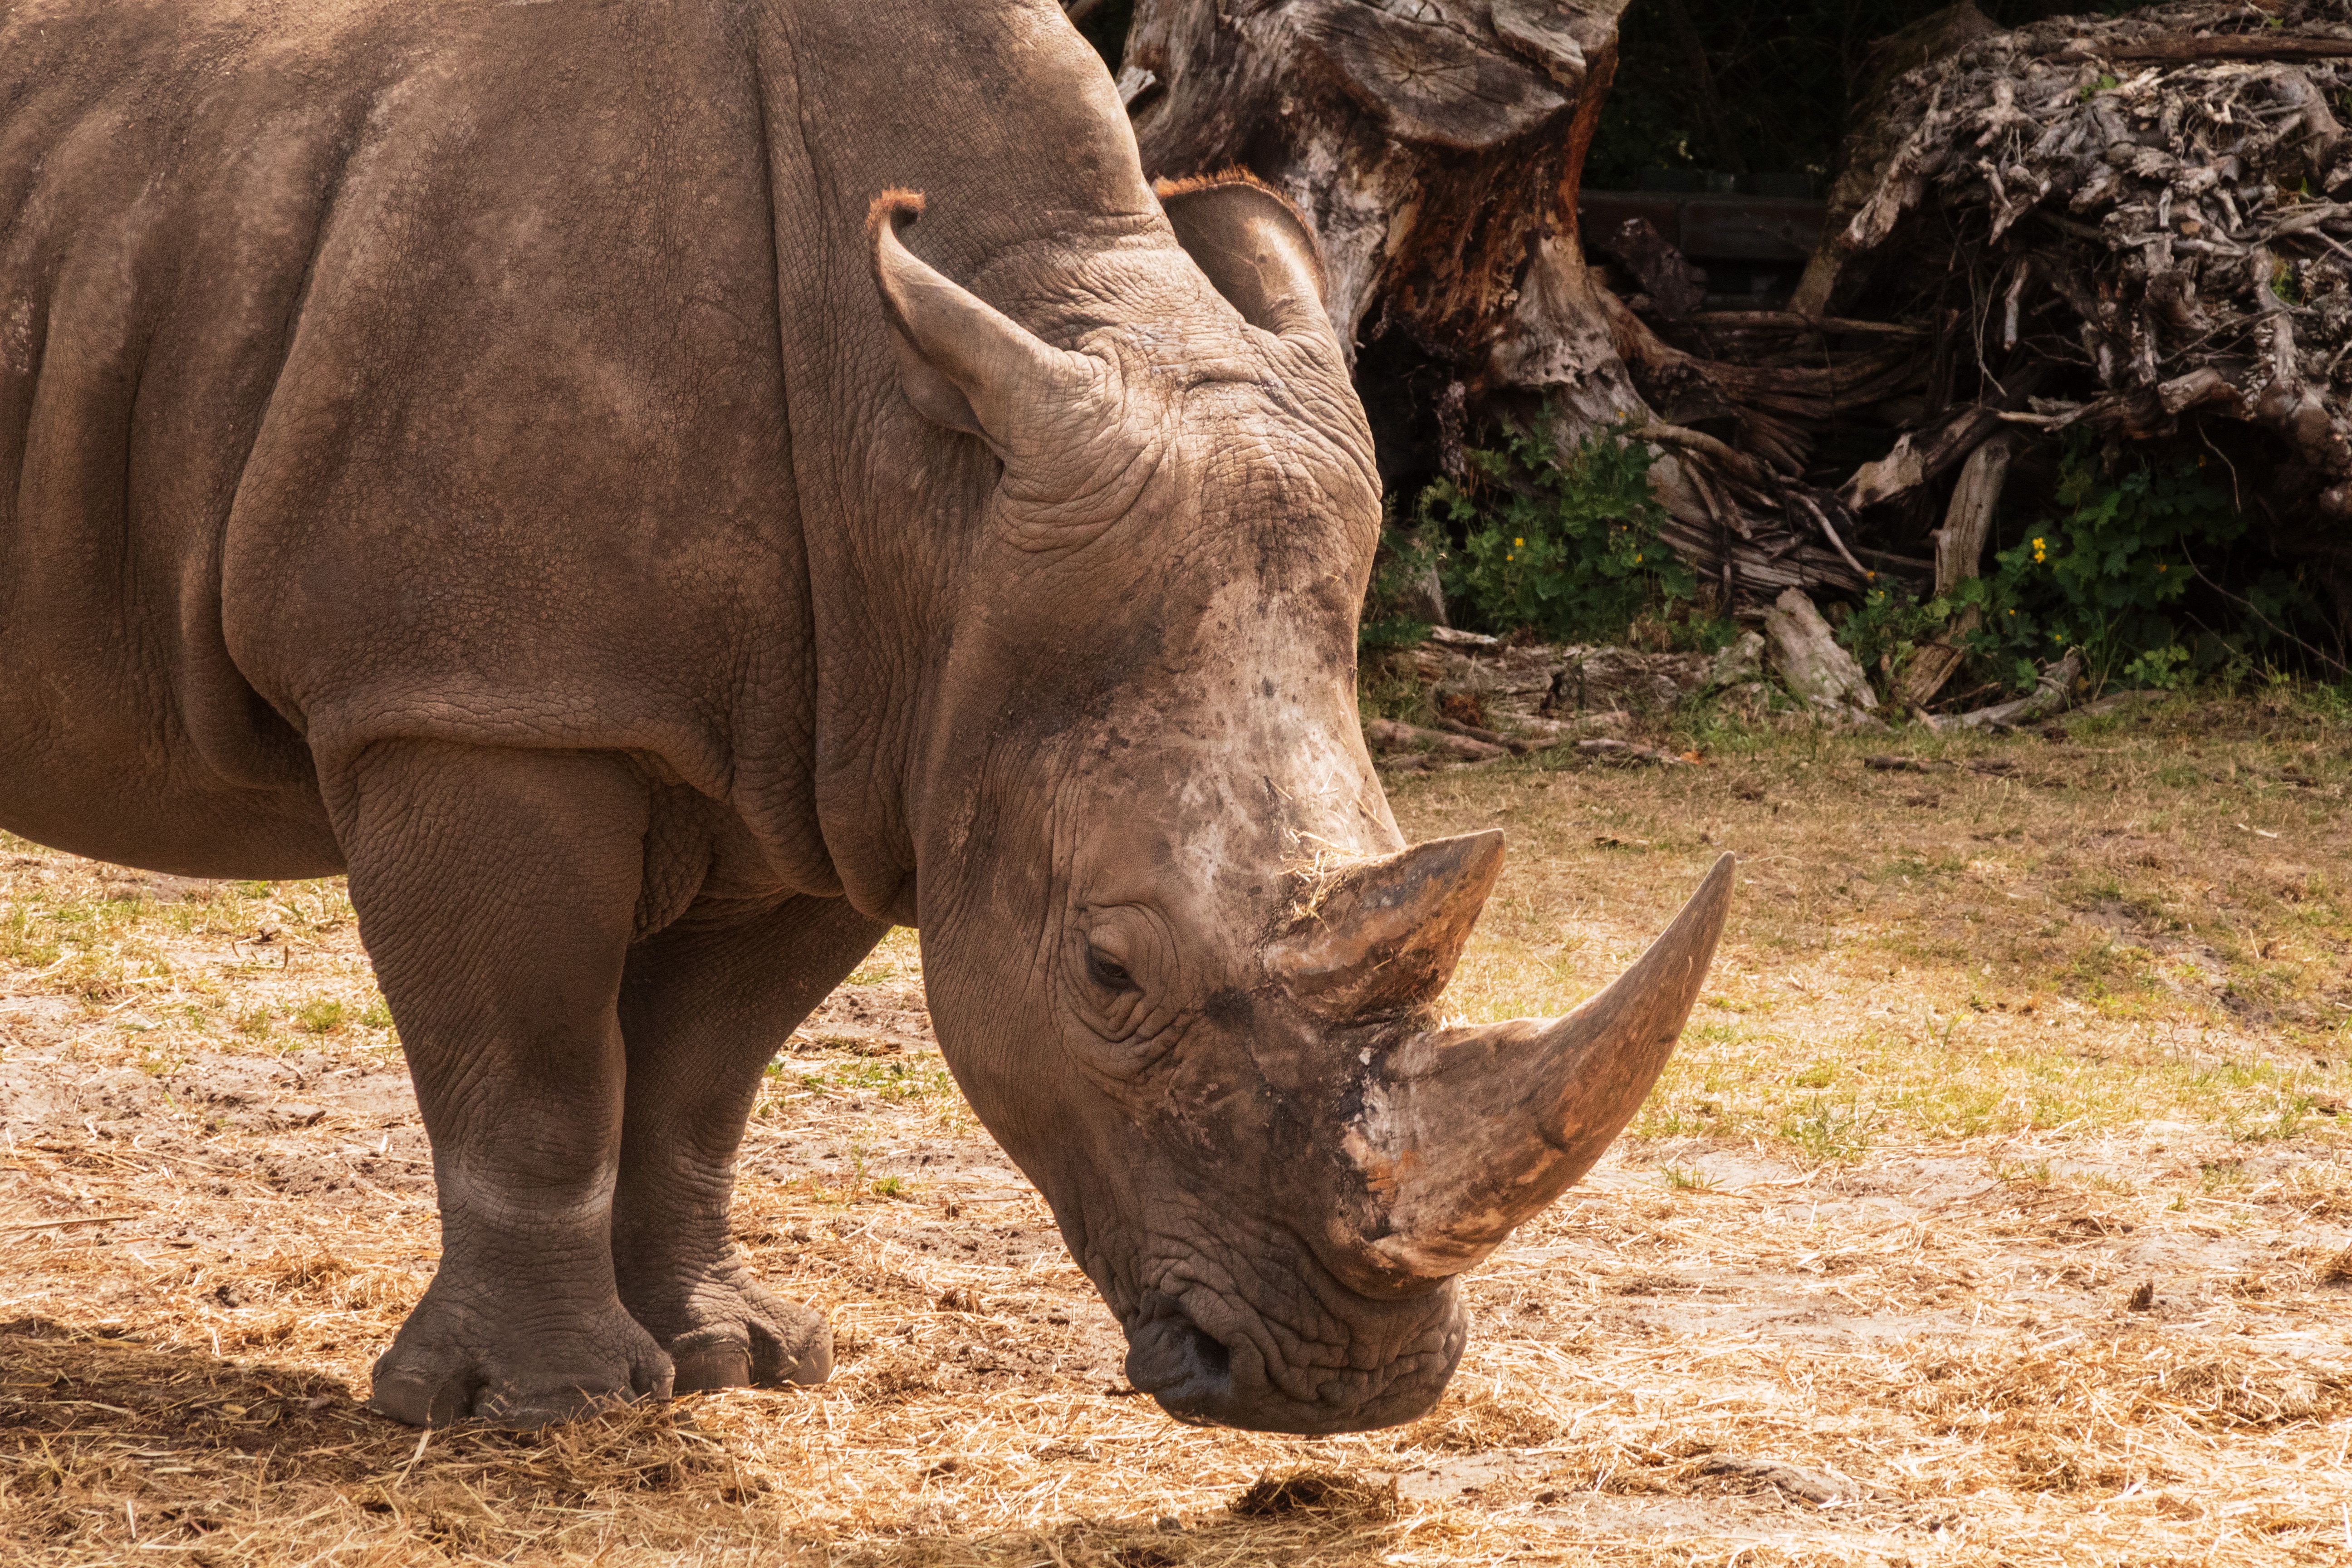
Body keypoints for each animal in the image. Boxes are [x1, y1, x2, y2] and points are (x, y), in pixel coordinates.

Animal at [0, 0, 1731, 1433]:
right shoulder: (479, 700)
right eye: (1109, 973)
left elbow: (701, 1076)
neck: (927, 493)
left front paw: (740, 1358)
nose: (1348, 1390)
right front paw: (547, 1408)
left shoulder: (858, 748)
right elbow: (532, 1069)